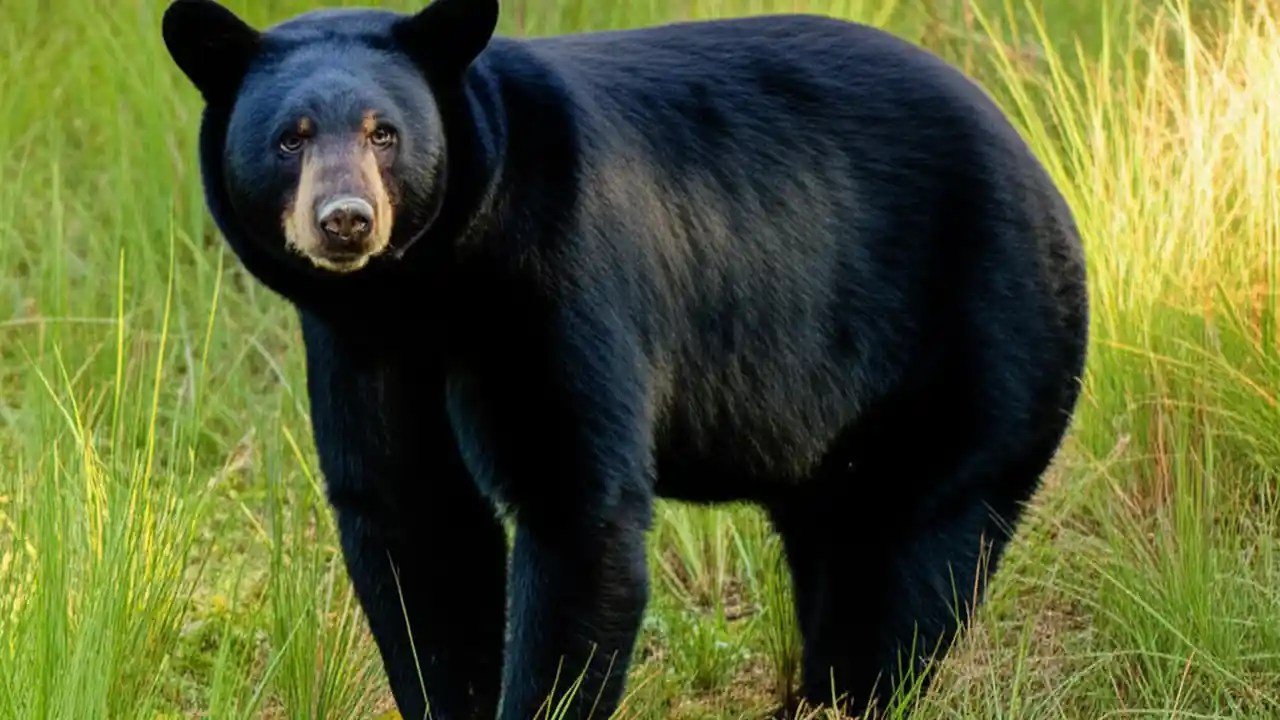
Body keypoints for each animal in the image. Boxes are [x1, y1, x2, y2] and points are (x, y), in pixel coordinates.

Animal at [160, 0, 1090, 718]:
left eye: (383, 133)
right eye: (290, 139)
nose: (347, 220)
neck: (427, 288)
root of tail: (1049, 183)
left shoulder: (557, 275)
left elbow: (574, 503)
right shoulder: (363, 348)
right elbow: (409, 517)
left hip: (978, 342)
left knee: (906, 562)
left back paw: (843, 693)